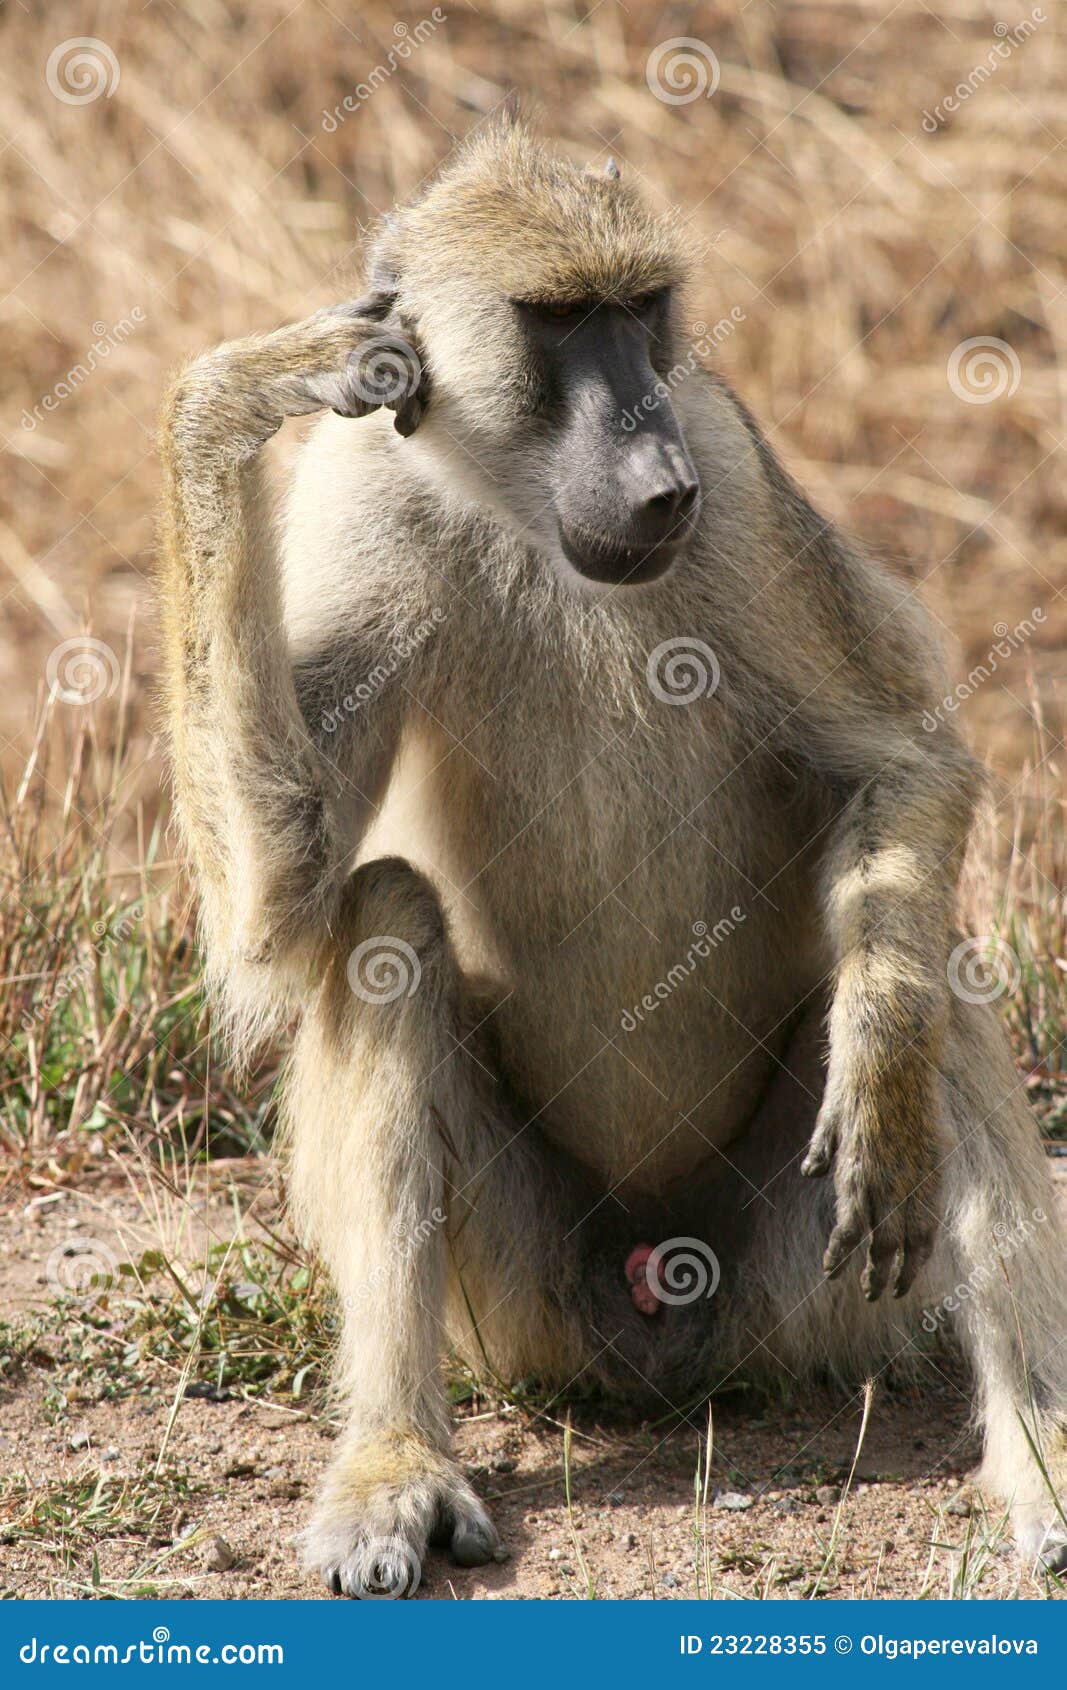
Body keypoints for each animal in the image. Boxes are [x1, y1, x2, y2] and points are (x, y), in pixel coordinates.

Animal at [158, 119, 1067, 1597]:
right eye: (557, 321)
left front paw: (879, 1063)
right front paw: (232, 388)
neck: (528, 511)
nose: (653, 480)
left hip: (794, 1284)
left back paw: (1037, 1453)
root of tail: (659, 1311)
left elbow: (905, 761)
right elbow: (277, 908)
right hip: (522, 1307)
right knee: (386, 920)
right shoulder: (362, 484)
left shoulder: (730, 464)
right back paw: (393, 1463)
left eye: (639, 312)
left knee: (941, 964)